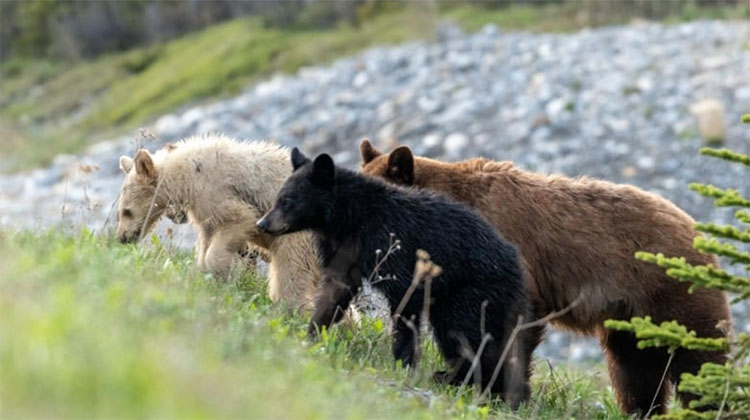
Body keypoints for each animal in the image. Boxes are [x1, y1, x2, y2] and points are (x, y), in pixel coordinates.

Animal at [116, 134, 319, 310]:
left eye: (126, 211)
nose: (122, 238)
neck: (186, 171)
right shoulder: (204, 211)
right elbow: (207, 237)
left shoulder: (214, 190)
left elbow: (239, 219)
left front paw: (221, 274)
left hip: (298, 233)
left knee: (290, 267)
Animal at [256, 148, 537, 408]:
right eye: (278, 197)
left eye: (287, 200)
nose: (263, 224)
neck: (350, 218)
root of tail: (517, 268)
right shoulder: (344, 251)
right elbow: (334, 292)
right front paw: (312, 333)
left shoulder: (396, 249)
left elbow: (405, 307)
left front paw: (403, 363)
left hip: (471, 292)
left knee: (466, 336)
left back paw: (470, 383)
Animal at [359, 139, 732, 416]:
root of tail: (698, 231)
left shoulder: (503, 253)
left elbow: (500, 325)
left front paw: (500, 392)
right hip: (630, 320)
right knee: (635, 370)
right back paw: (642, 411)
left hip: (672, 294)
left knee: (699, 358)